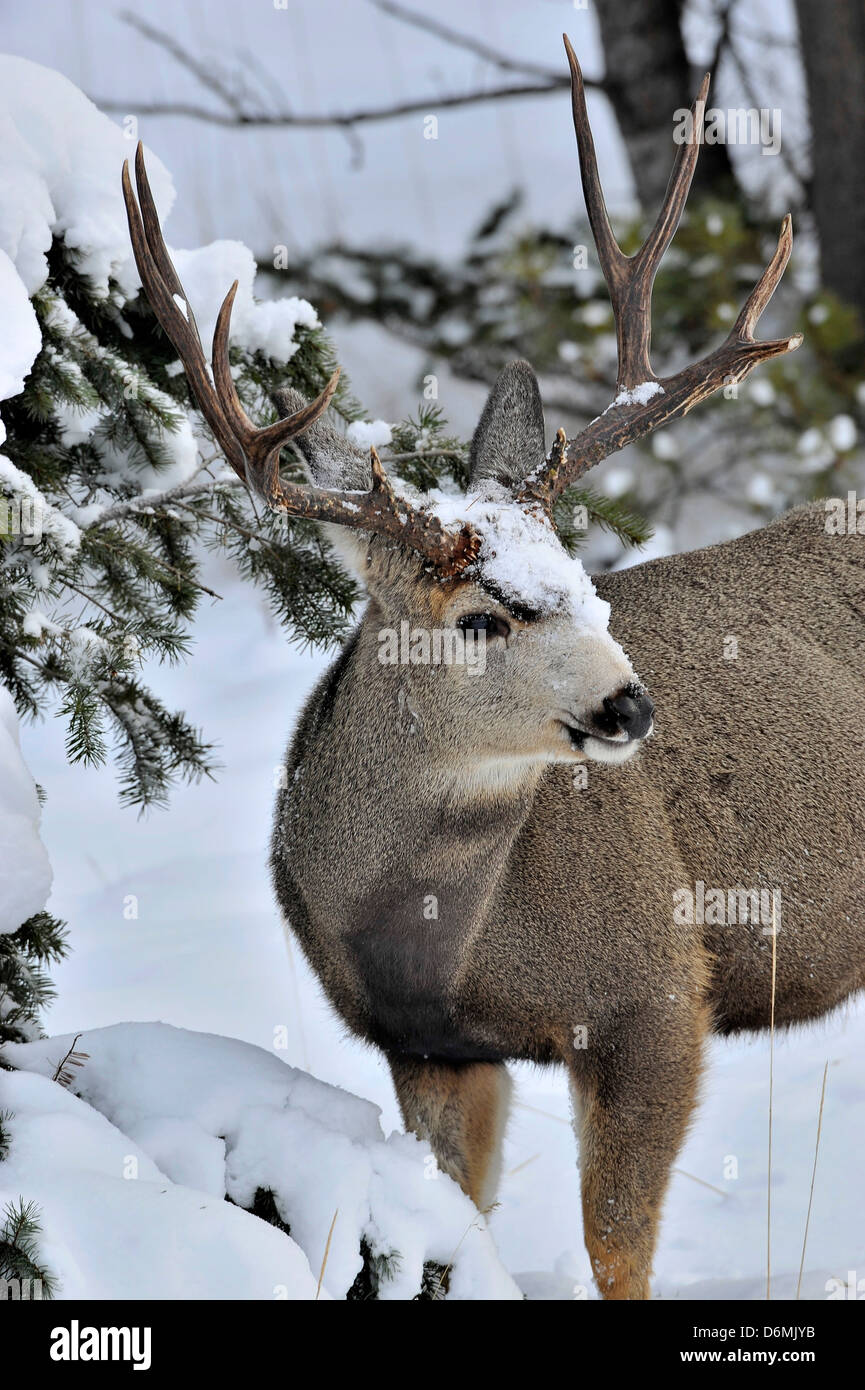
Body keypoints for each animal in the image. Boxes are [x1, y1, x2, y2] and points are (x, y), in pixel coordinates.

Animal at [122, 35, 865, 1300]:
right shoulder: (424, 1046)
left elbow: (615, 1247)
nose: (629, 704)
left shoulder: (656, 990)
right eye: (479, 615)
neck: (441, 940)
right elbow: (453, 1218)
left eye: (583, 578)